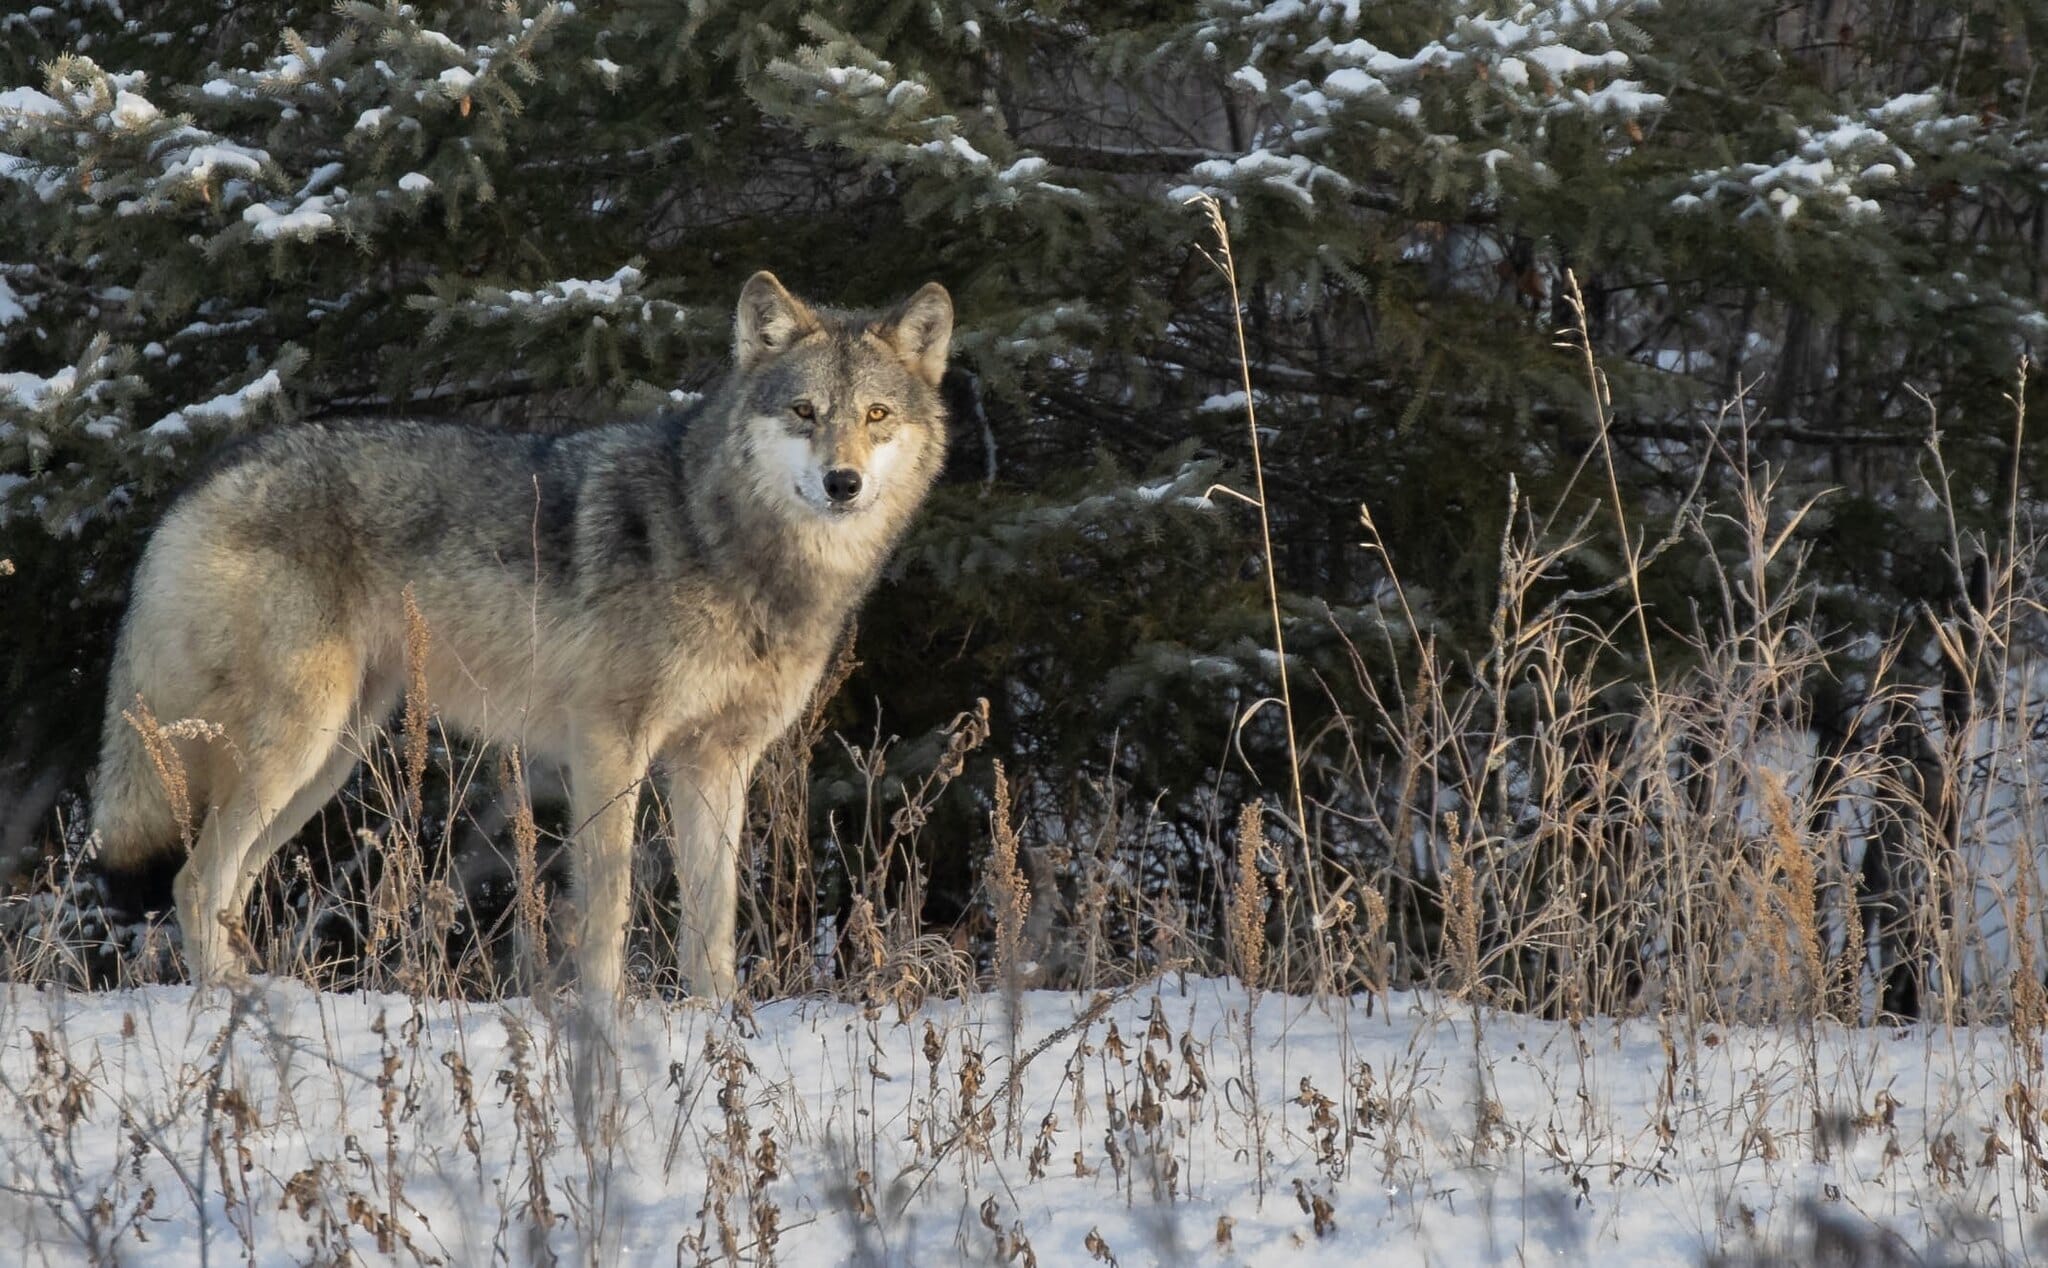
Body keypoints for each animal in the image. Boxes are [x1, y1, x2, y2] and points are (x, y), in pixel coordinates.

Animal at [92, 272, 953, 1000]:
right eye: (805, 411)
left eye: (875, 416)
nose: (844, 483)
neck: (727, 542)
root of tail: (201, 479)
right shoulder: (609, 747)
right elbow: (607, 912)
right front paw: (608, 1025)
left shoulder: (717, 761)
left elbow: (711, 928)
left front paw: (717, 1030)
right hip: (298, 746)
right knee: (194, 882)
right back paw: (231, 1007)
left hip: (330, 756)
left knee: (230, 886)